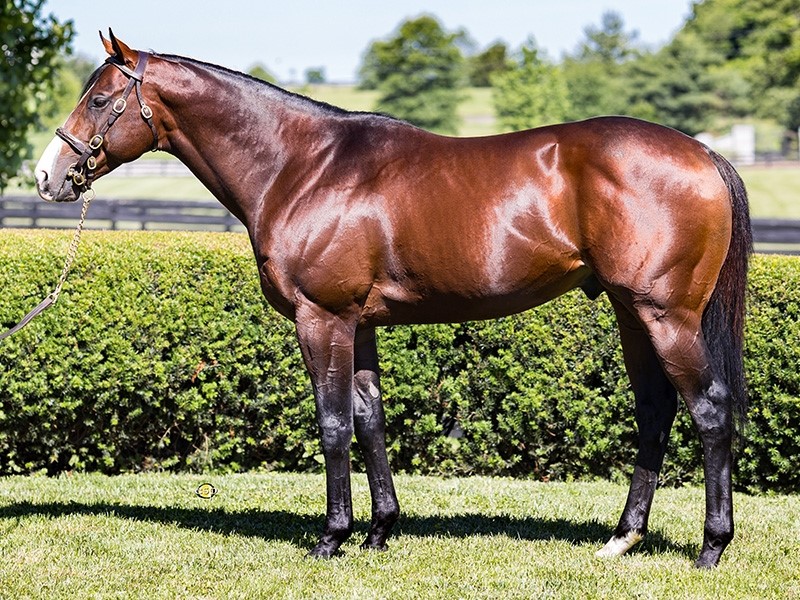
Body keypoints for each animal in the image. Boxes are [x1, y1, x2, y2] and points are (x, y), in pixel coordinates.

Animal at [34, 31, 751, 567]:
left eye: (100, 99)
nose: (47, 176)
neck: (304, 168)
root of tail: (705, 154)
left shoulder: (321, 318)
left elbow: (331, 424)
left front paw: (332, 537)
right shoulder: (361, 324)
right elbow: (370, 420)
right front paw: (380, 529)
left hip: (666, 316)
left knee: (709, 411)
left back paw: (711, 547)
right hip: (632, 313)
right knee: (656, 411)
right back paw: (622, 538)